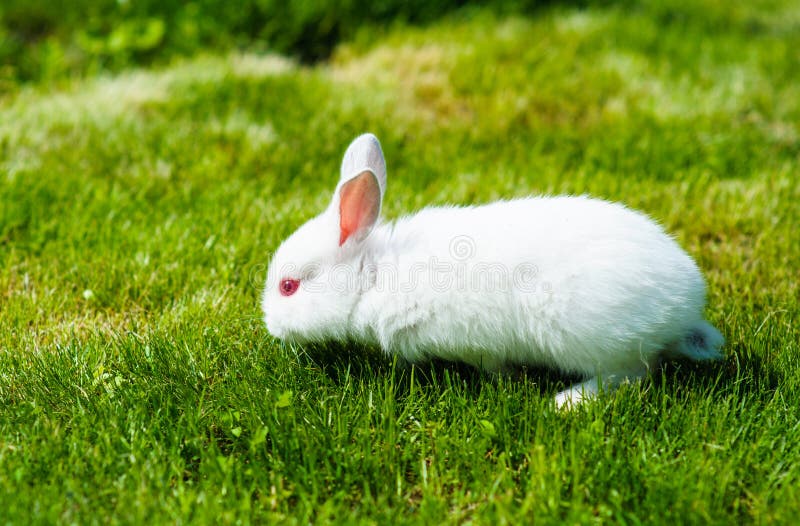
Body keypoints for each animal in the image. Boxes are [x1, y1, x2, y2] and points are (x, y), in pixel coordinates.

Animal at [262, 133, 724, 407]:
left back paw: (567, 402)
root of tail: (686, 304)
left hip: (596, 340)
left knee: (633, 374)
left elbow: (492, 363)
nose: (270, 326)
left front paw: (511, 378)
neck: (373, 275)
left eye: (288, 286)